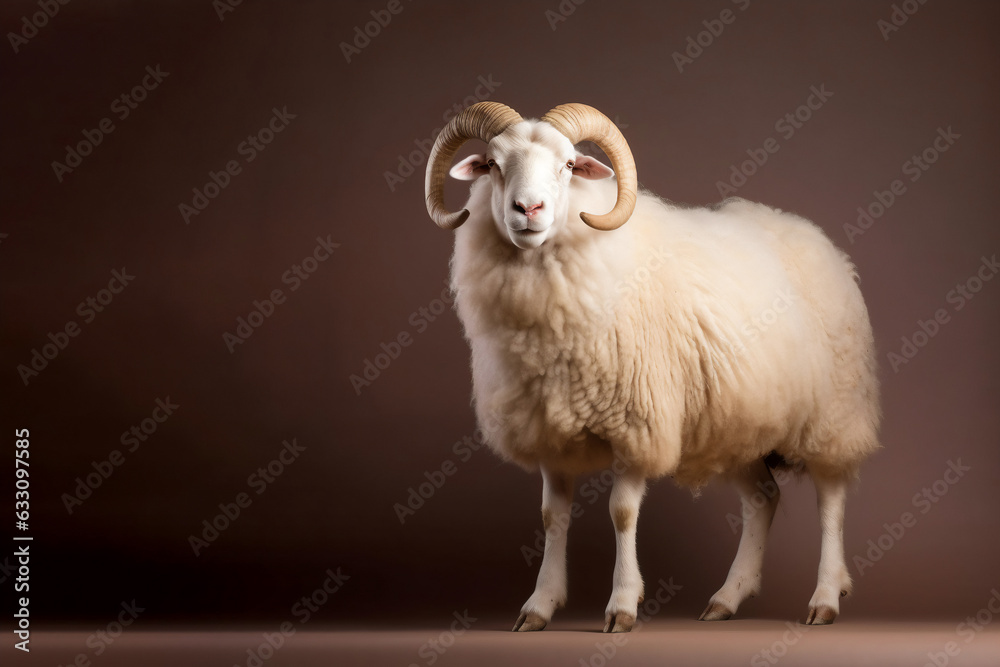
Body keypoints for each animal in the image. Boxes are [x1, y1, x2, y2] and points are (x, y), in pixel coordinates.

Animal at [423, 101, 880, 633]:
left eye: (567, 165)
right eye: (493, 165)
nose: (528, 210)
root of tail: (818, 240)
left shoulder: (636, 424)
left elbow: (622, 512)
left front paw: (622, 605)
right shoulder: (551, 429)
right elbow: (551, 517)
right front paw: (539, 605)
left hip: (834, 412)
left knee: (830, 501)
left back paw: (824, 597)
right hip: (740, 426)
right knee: (763, 499)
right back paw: (727, 598)